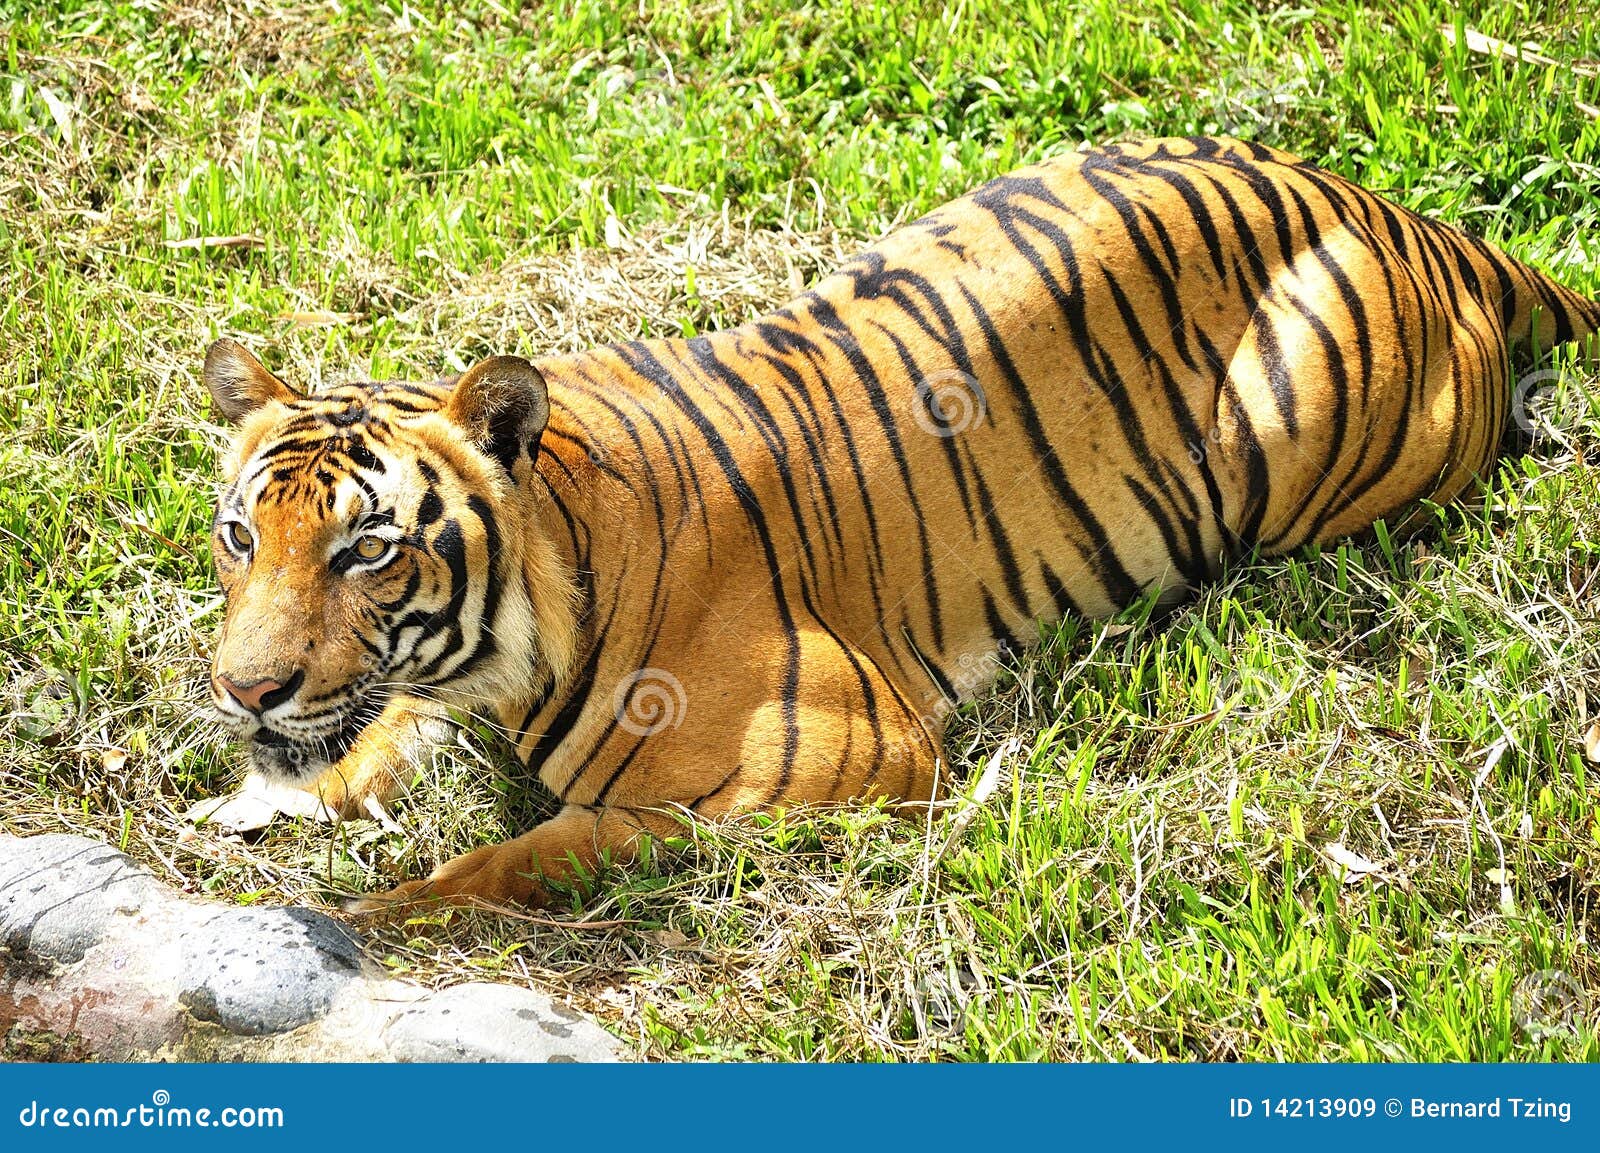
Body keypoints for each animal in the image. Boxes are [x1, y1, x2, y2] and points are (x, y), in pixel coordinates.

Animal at [201, 135, 1599, 911]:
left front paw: (372, 916)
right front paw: (259, 799)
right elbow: (382, 734)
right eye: (239, 538)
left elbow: (530, 854)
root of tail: (1405, 215)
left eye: (367, 548)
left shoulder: (839, 761)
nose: (242, 690)